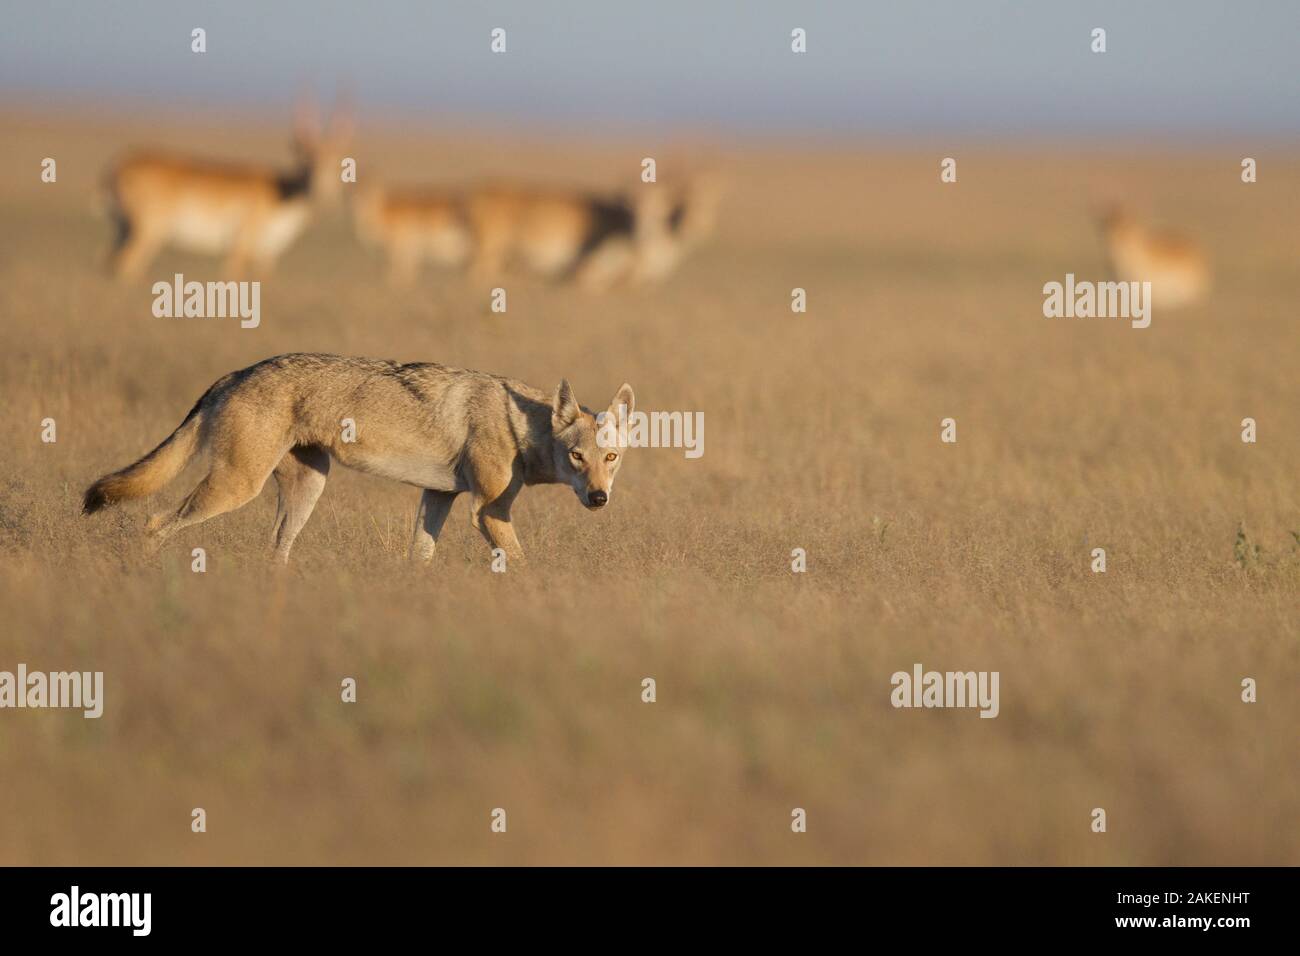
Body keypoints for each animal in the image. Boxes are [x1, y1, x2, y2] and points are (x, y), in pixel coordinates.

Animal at [82, 354, 635, 565]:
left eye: (610, 458)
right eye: (576, 457)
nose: (599, 498)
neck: (521, 427)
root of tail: (235, 373)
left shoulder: (438, 497)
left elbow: (420, 557)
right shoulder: (488, 511)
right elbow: (522, 565)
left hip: (306, 492)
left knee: (274, 552)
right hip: (236, 489)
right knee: (155, 523)